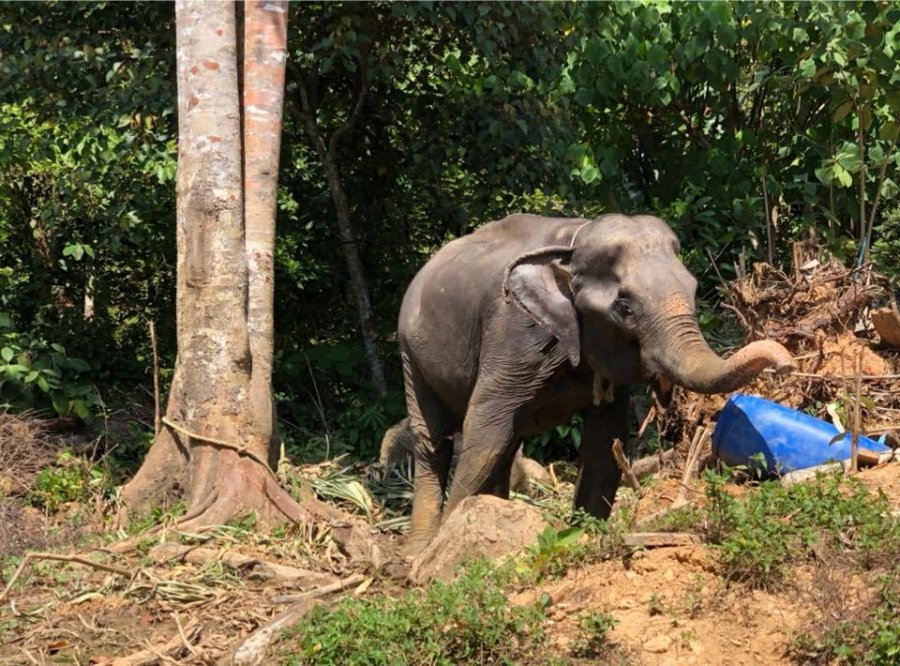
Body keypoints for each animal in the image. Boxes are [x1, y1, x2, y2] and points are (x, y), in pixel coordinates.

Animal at [398, 213, 794, 553]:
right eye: (624, 307)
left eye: (694, 289)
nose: (786, 364)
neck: (574, 240)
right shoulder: (513, 333)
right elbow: (484, 430)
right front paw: (439, 556)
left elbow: (606, 441)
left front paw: (583, 536)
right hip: (409, 353)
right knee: (436, 442)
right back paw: (416, 554)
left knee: (507, 445)